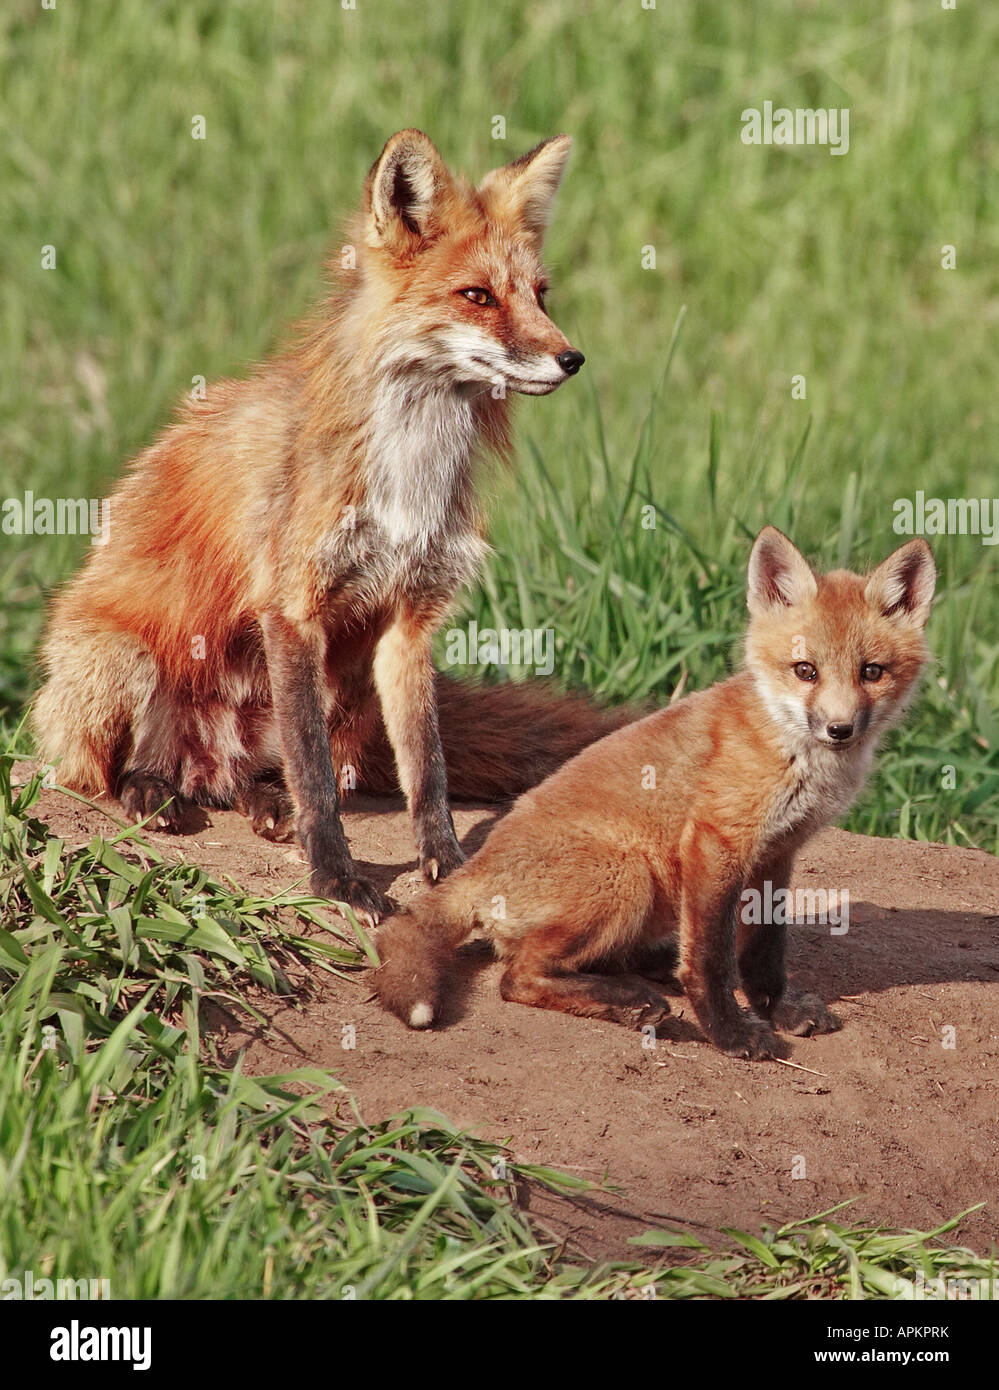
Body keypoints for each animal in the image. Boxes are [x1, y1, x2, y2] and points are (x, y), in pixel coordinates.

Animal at [31, 129, 624, 925]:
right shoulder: (292, 610)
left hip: (340, 686)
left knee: (247, 781)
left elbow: (427, 770)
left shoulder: (410, 621)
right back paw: (151, 793)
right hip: (126, 661)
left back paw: (258, 801)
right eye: (477, 296)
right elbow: (314, 775)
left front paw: (444, 862)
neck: (409, 472)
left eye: (540, 294)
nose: (571, 358)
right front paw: (336, 879)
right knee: (106, 773)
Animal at [375, 527, 937, 1060]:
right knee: (517, 977)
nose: (840, 729)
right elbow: (710, 961)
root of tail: (477, 867)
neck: (793, 756)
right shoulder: (715, 842)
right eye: (806, 671)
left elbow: (764, 951)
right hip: (629, 876)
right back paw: (633, 1003)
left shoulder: (777, 852)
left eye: (871, 672)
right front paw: (732, 1033)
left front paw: (777, 1007)